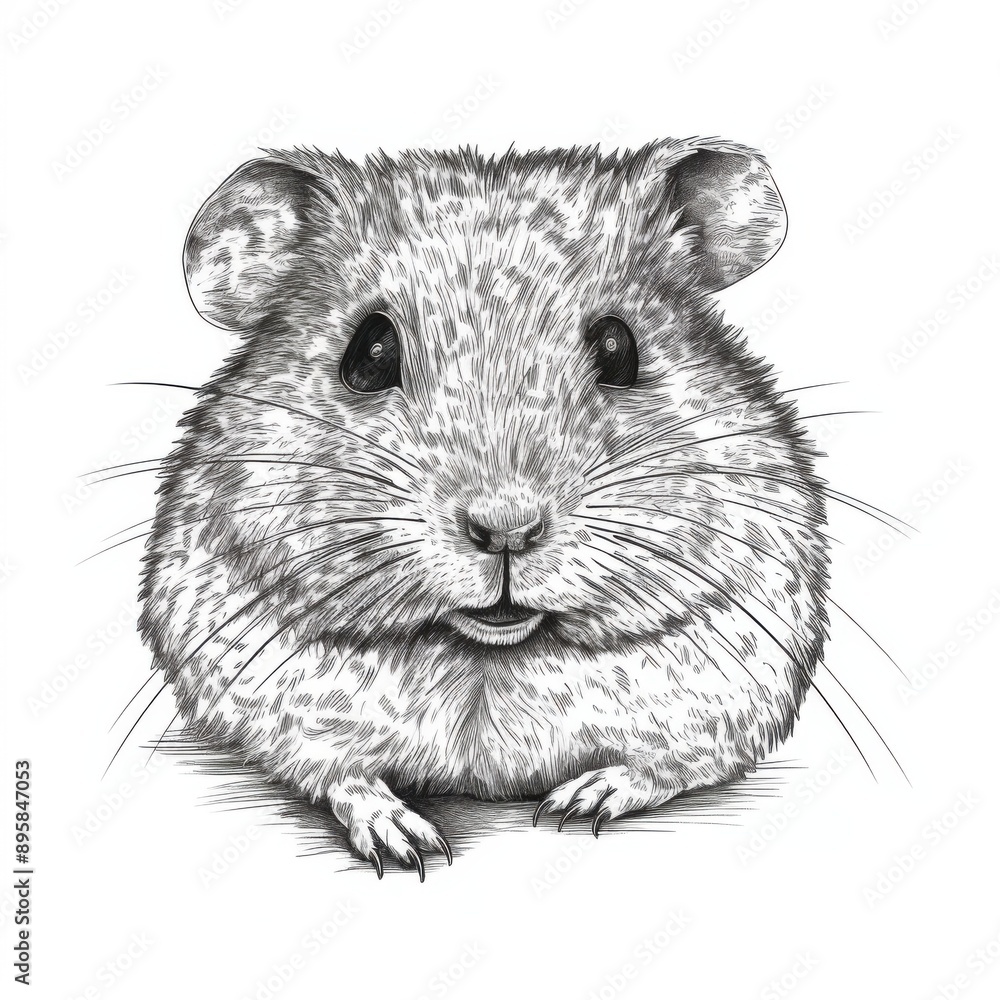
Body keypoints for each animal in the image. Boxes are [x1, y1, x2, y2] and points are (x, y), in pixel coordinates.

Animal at [139, 138, 828, 878]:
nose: (505, 531)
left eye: (619, 347)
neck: (486, 657)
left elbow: (669, 765)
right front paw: (409, 843)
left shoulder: (743, 677)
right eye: (368, 352)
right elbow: (339, 775)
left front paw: (578, 803)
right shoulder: (262, 692)